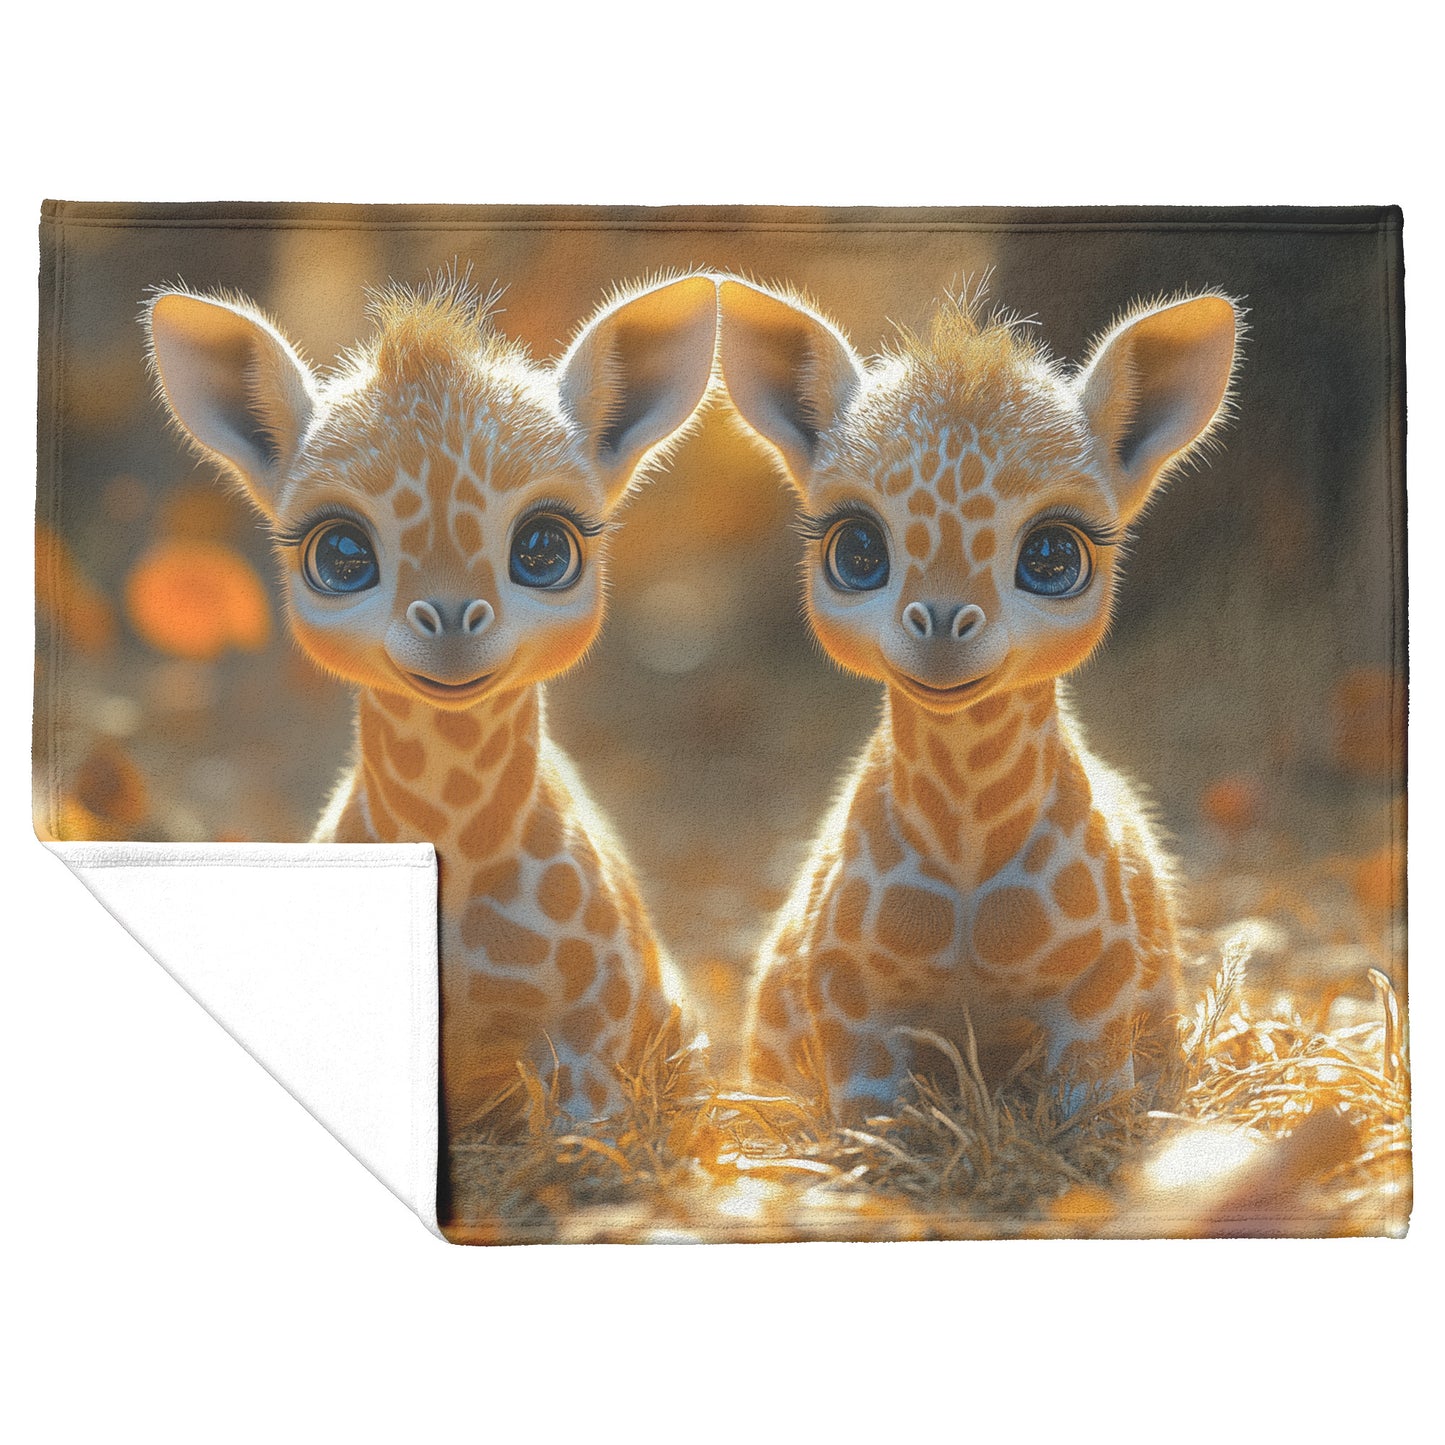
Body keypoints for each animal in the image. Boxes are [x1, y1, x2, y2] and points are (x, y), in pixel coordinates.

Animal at [715, 276, 1241, 1117]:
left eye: (1054, 554)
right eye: (855, 548)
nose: (939, 622)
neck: (964, 859)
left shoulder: (1097, 984)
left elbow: (1090, 1105)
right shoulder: (845, 989)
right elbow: (867, 1117)